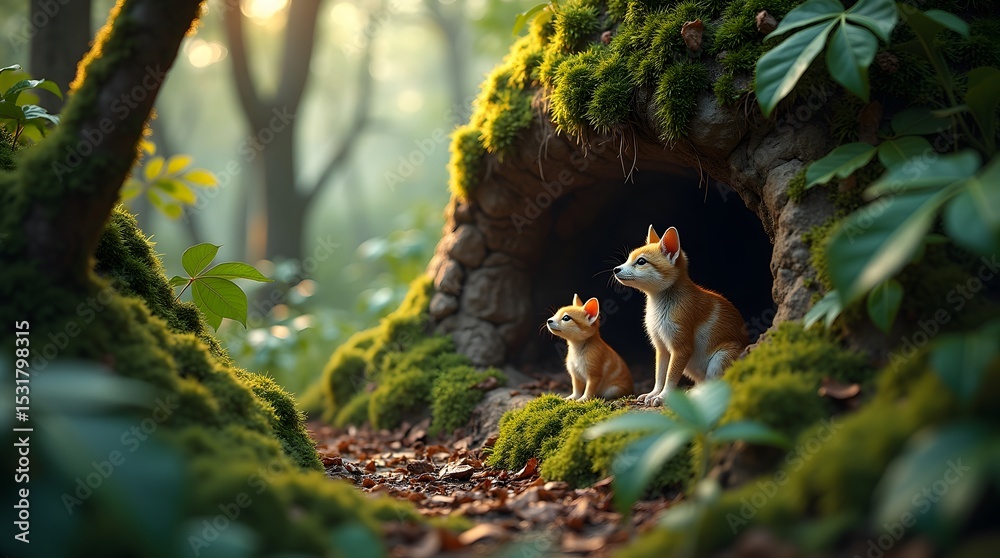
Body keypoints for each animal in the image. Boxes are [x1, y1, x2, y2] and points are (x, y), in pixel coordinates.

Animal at [613, 225, 748, 407]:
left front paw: (662, 397)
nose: (615, 269)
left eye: (641, 261)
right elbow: (659, 377)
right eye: (628, 258)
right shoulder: (661, 348)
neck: (660, 310)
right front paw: (653, 394)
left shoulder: (681, 348)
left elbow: (670, 378)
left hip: (719, 360)